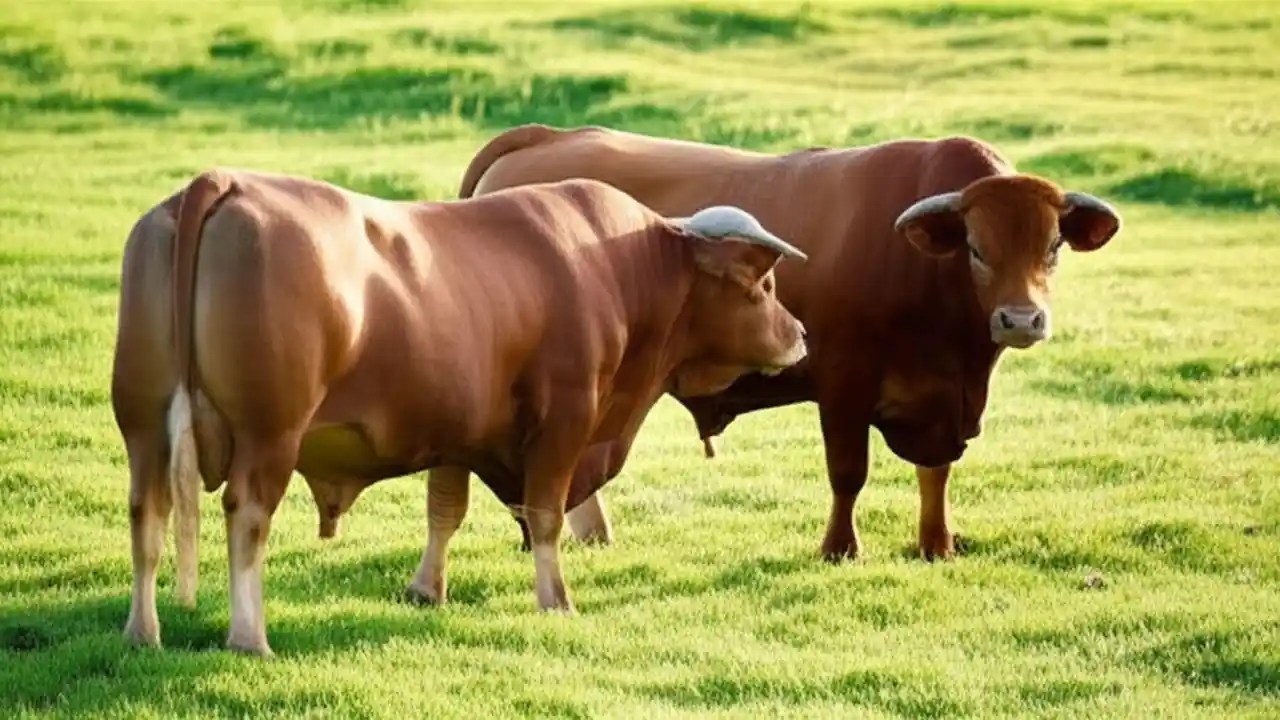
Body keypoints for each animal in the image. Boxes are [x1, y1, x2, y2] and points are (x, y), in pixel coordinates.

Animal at [111, 168, 808, 656]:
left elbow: (444, 511)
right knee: (247, 519)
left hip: (144, 429)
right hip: (269, 436)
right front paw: (556, 600)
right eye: (765, 285)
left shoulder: (457, 435)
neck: (619, 266)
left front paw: (427, 590)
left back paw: (143, 631)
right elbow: (546, 516)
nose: (800, 334)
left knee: (148, 516)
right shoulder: (564, 421)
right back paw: (249, 637)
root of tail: (220, 181)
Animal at [458, 123, 1123, 563]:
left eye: (1053, 247)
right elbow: (848, 472)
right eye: (977, 249)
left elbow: (935, 473)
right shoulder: (844, 384)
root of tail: (548, 137)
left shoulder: (942, 403)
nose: (1021, 319)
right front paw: (839, 548)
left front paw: (937, 544)